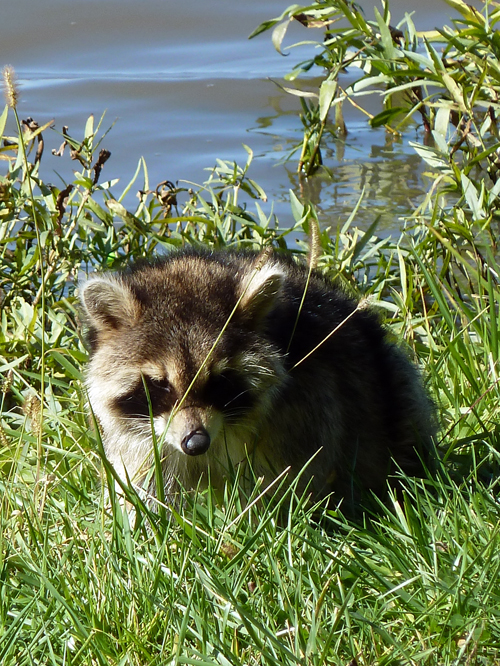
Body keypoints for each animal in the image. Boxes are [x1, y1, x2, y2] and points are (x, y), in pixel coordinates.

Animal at [80, 248, 435, 508]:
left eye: (219, 381)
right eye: (160, 384)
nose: (195, 443)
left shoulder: (305, 411)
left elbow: (286, 486)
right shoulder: (142, 441)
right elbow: (146, 488)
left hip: (391, 388)